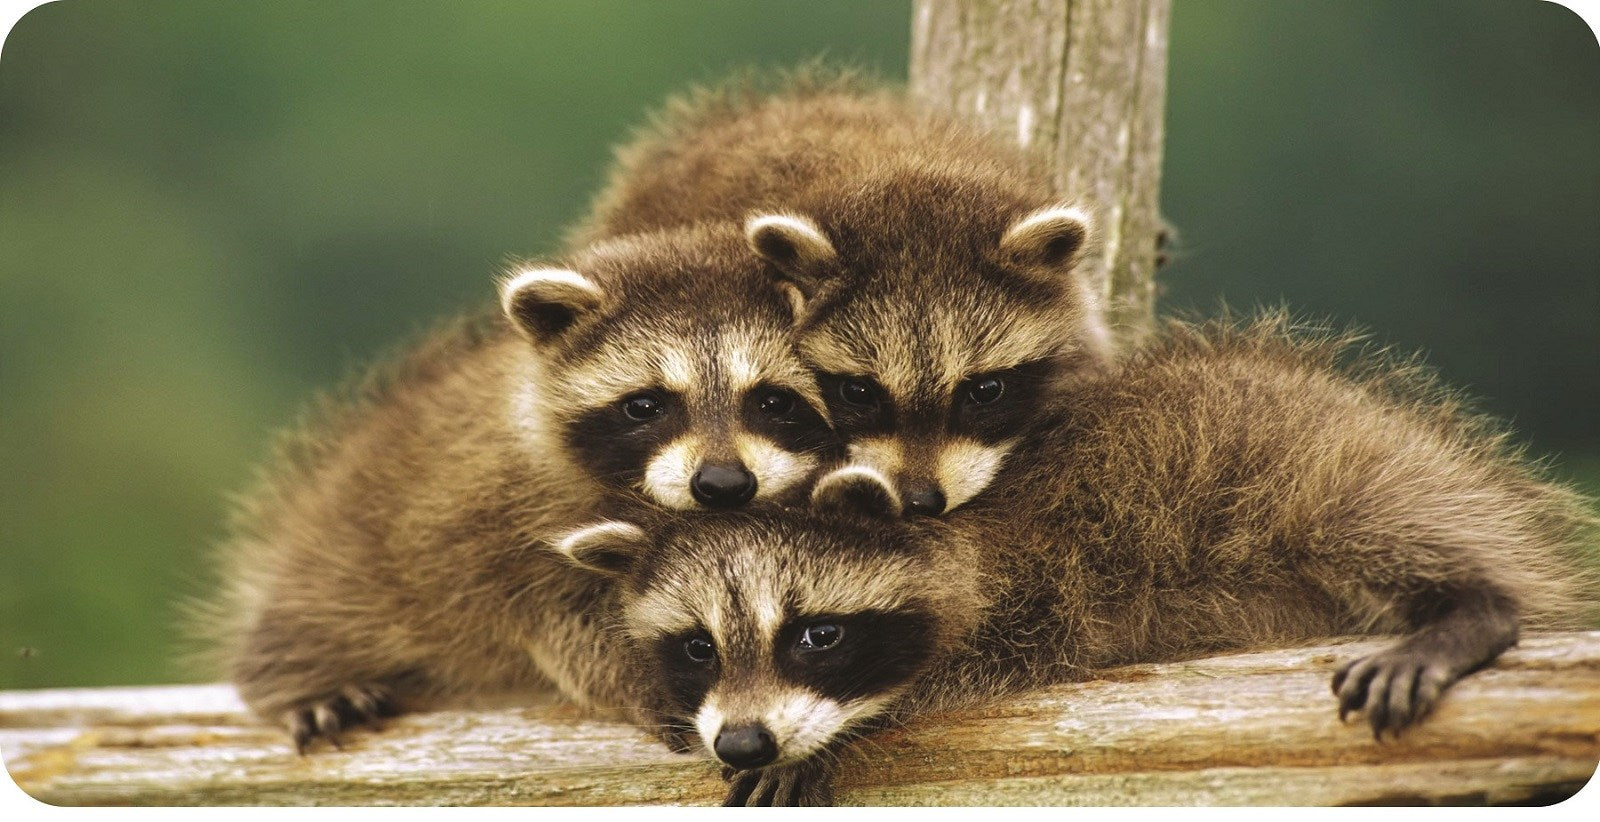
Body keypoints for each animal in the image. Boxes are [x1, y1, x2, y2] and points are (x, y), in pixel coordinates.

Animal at [203, 222, 842, 750]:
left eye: (774, 400)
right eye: (646, 405)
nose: (722, 483)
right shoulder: (497, 523)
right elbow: (560, 622)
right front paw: (657, 679)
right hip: (348, 559)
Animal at [554, 315, 1597, 806]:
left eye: (816, 635)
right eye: (697, 647)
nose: (742, 742)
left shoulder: (1044, 582)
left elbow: (958, 668)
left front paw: (839, 734)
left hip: (1337, 465)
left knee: (1381, 522)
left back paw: (1473, 605)